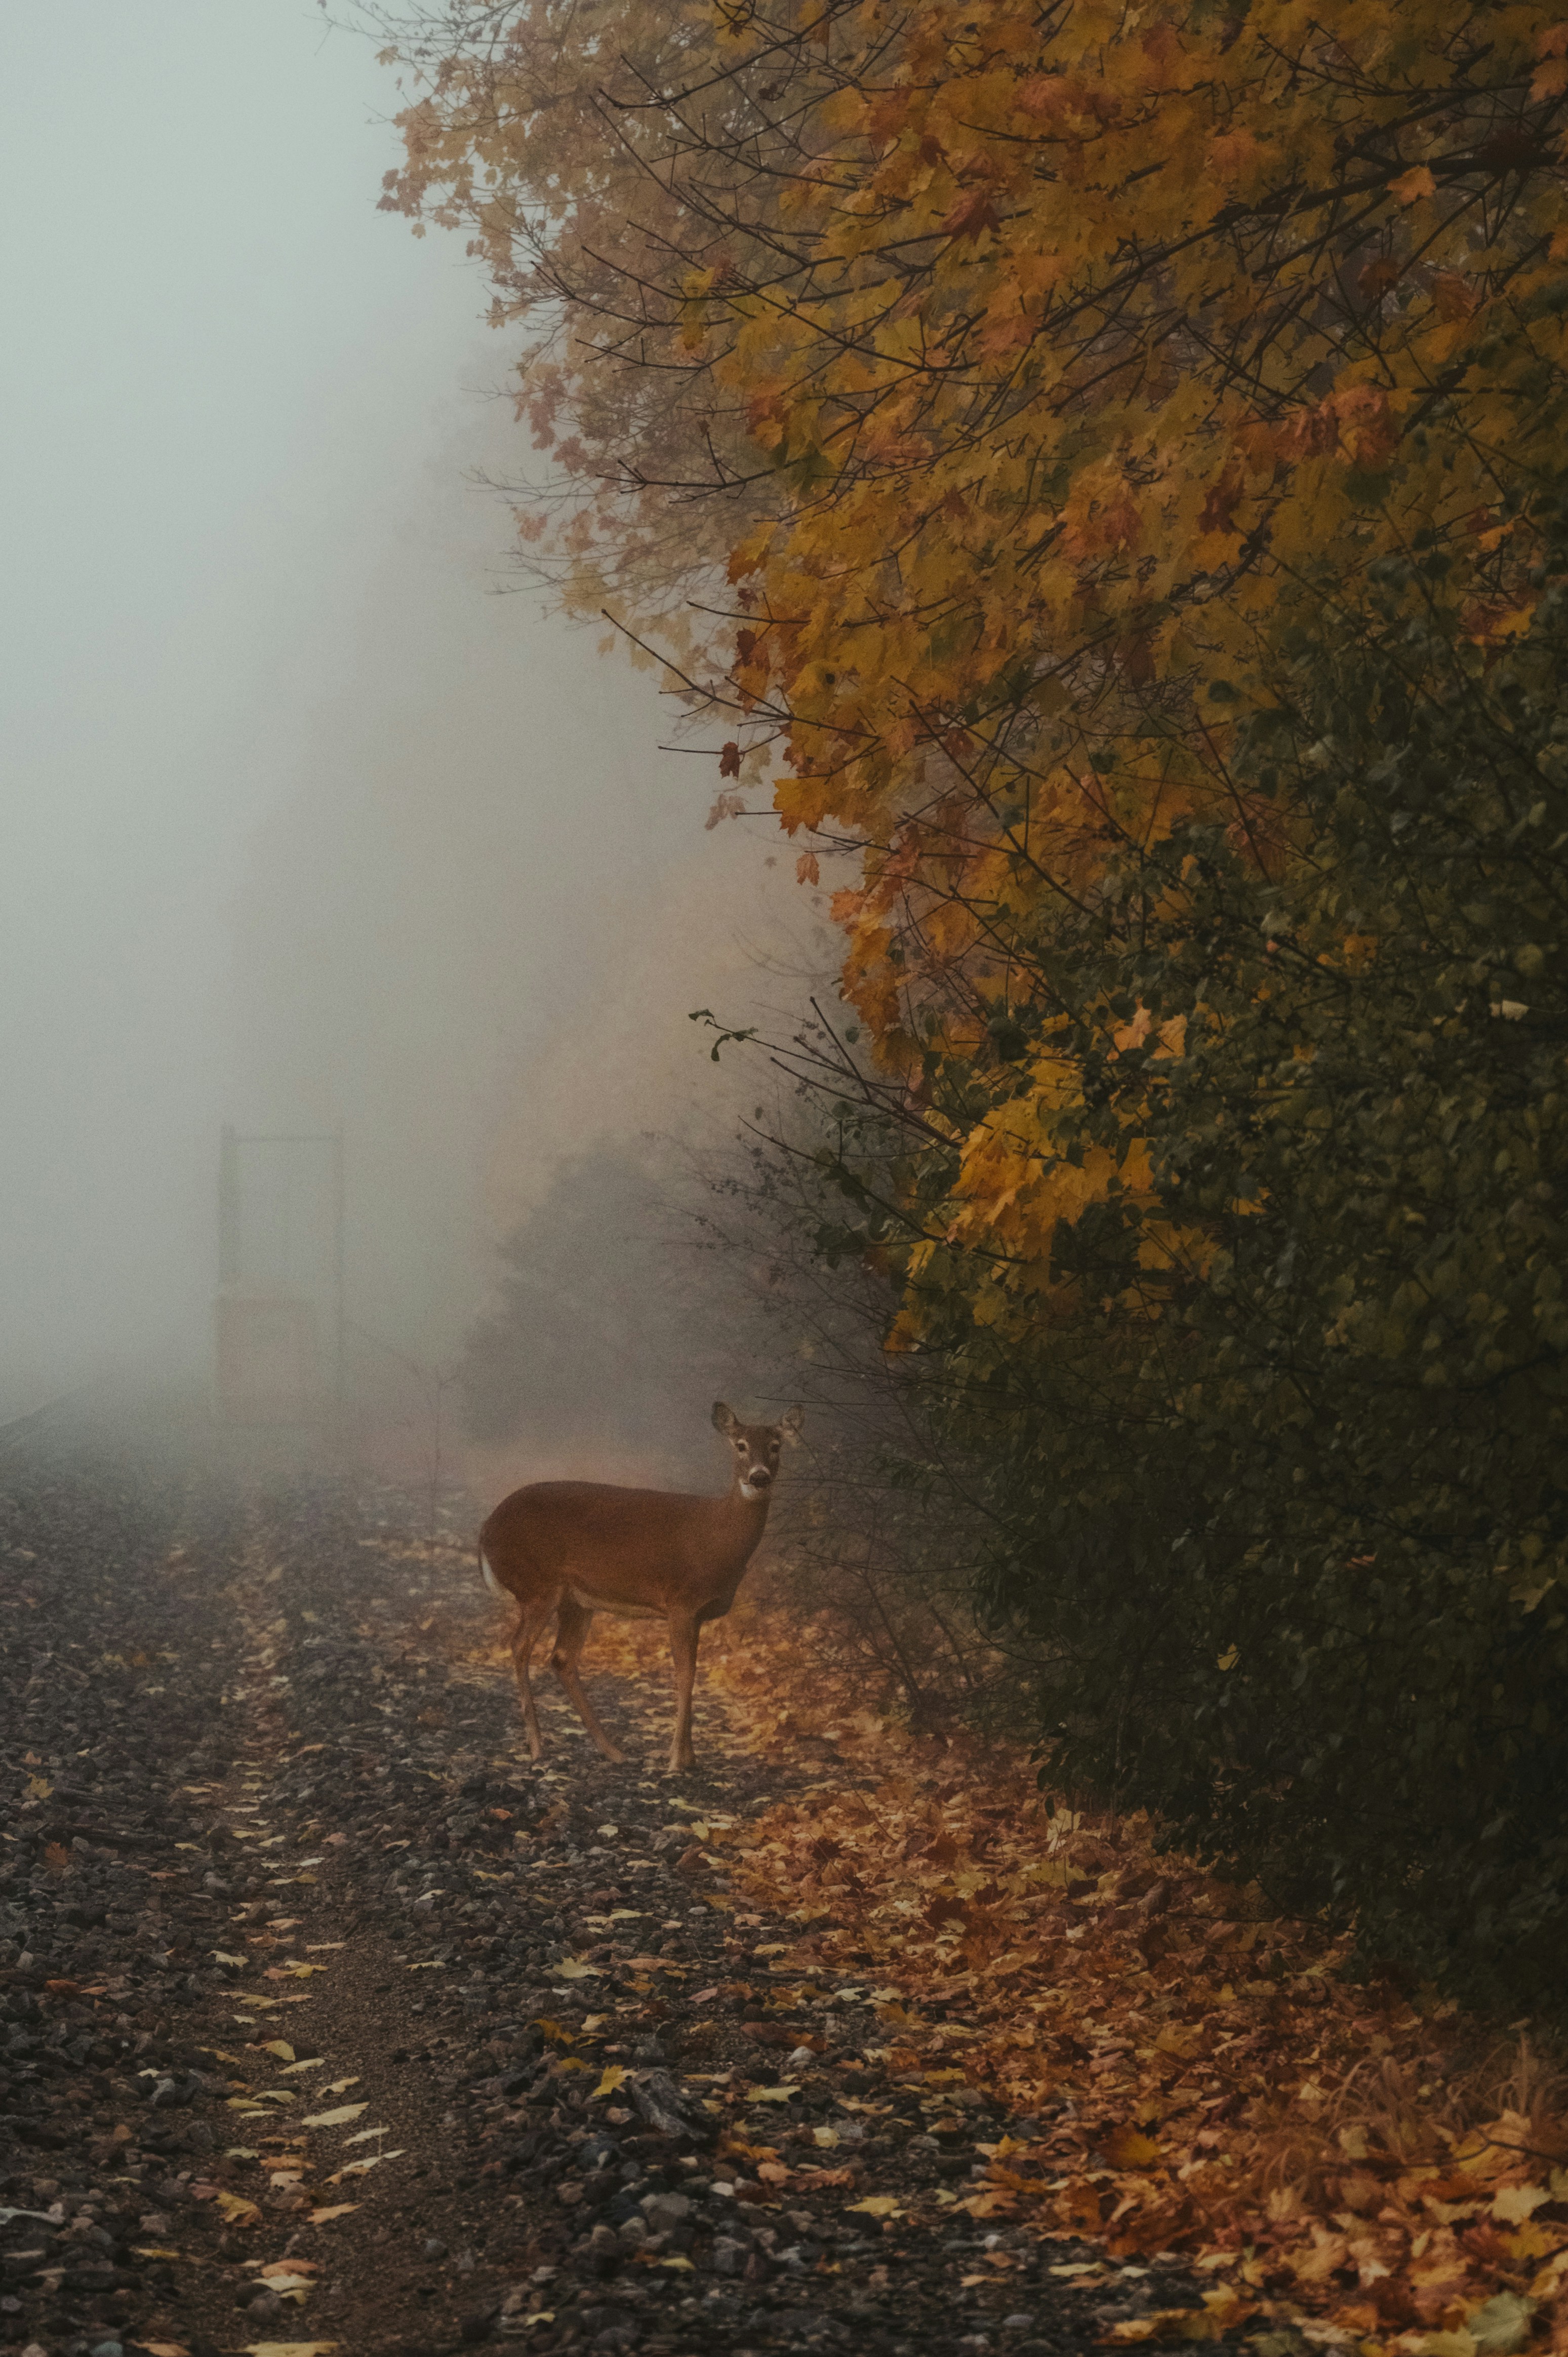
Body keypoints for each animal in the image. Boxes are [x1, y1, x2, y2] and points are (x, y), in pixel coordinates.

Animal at [477, 1401, 803, 1773]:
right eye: (740, 1445)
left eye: (776, 1445)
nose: (759, 1477)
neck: (716, 1538)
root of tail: (486, 1530)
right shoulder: (681, 1602)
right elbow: (685, 1675)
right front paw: (676, 1761)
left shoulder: (698, 1613)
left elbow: (692, 1673)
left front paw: (689, 1757)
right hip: (537, 1585)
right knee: (519, 1647)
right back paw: (537, 1748)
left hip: (576, 1600)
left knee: (561, 1658)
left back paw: (613, 1751)